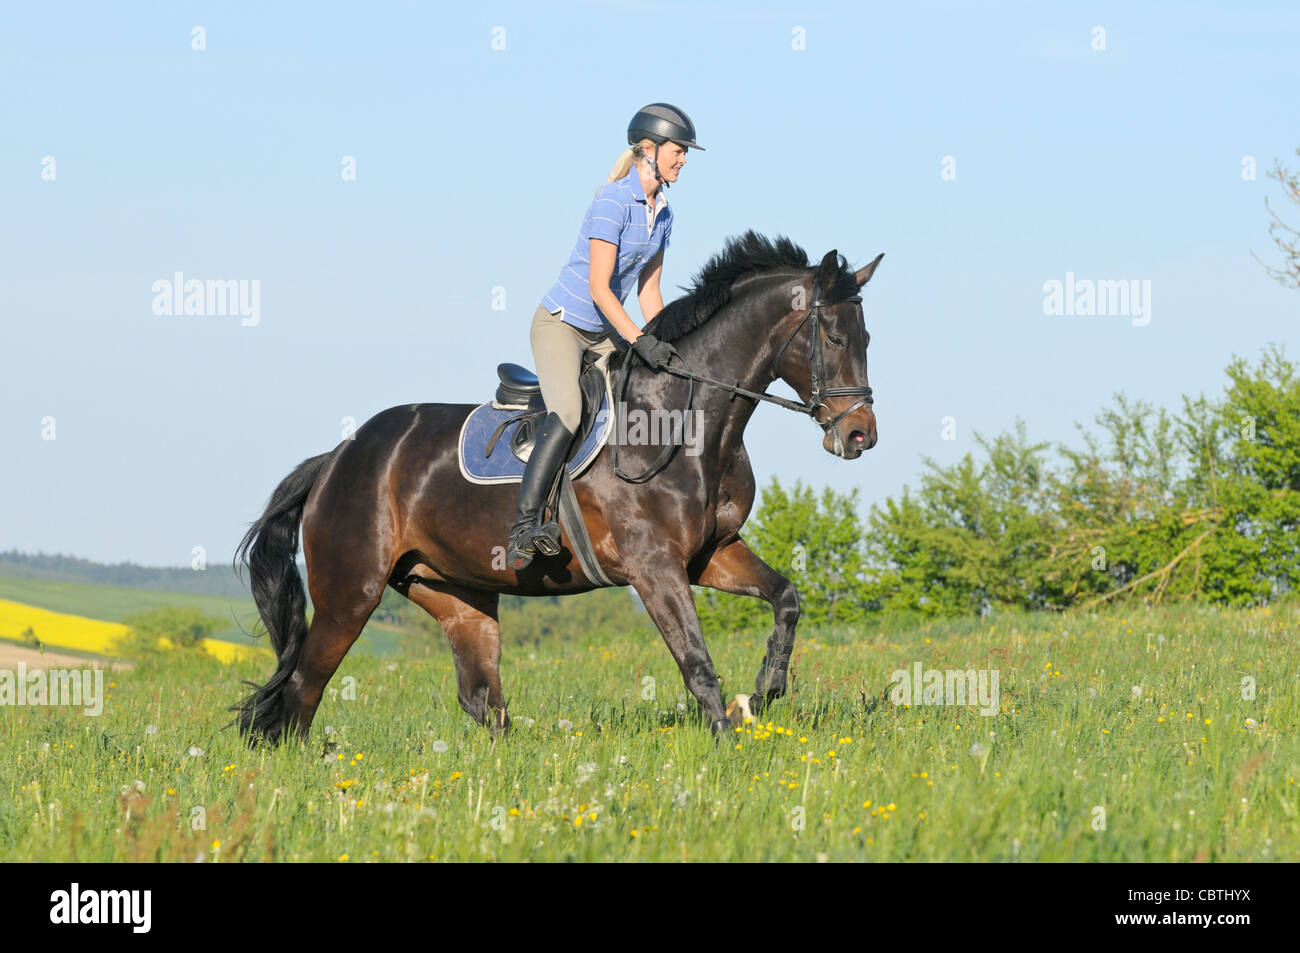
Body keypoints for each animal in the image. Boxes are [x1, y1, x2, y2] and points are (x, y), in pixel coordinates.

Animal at [232, 230, 883, 745]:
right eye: (833, 338)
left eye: (866, 338)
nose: (860, 435)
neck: (686, 419)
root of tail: (339, 458)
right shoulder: (654, 566)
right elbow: (695, 660)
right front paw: (727, 742)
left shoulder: (710, 554)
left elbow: (786, 598)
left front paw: (766, 690)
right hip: (351, 593)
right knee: (303, 689)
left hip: (454, 592)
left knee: (480, 697)